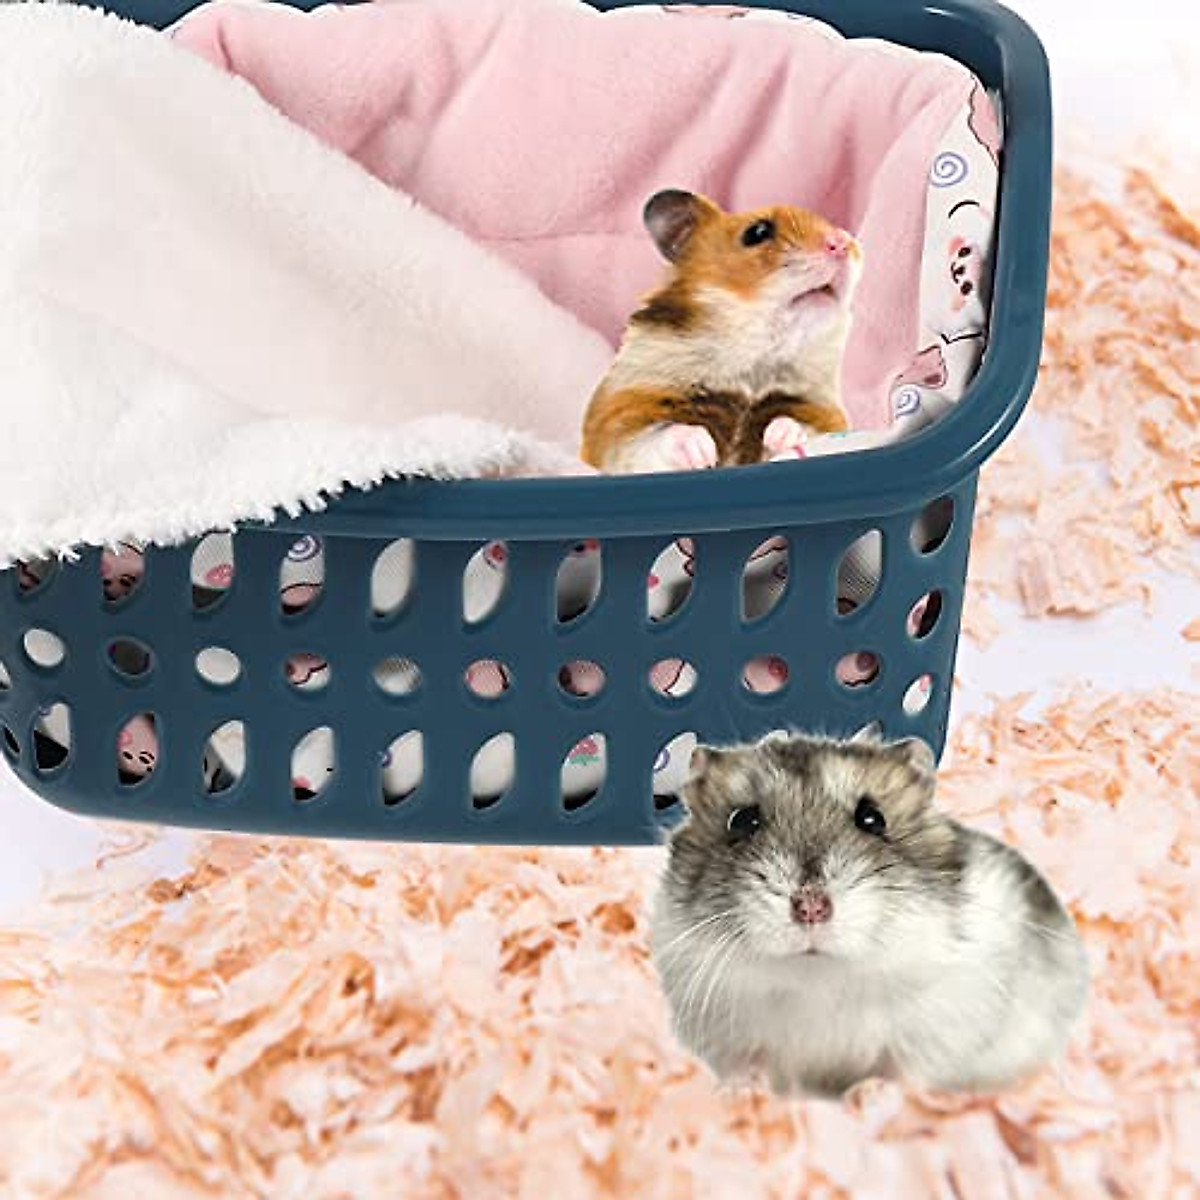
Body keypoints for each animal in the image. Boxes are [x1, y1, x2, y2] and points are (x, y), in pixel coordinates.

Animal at [581, 189, 862, 474]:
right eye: (758, 232)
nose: (843, 242)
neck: (753, 365)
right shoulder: (617, 418)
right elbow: (658, 434)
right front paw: (701, 452)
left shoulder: (821, 412)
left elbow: (800, 425)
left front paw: (783, 435)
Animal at [650, 731, 1089, 1099]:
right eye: (742, 821)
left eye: (873, 818)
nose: (811, 907)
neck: (818, 979)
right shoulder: (726, 1032)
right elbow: (748, 1065)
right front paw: (740, 1095)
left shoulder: (937, 1028)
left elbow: (904, 1070)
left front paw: (872, 1096)